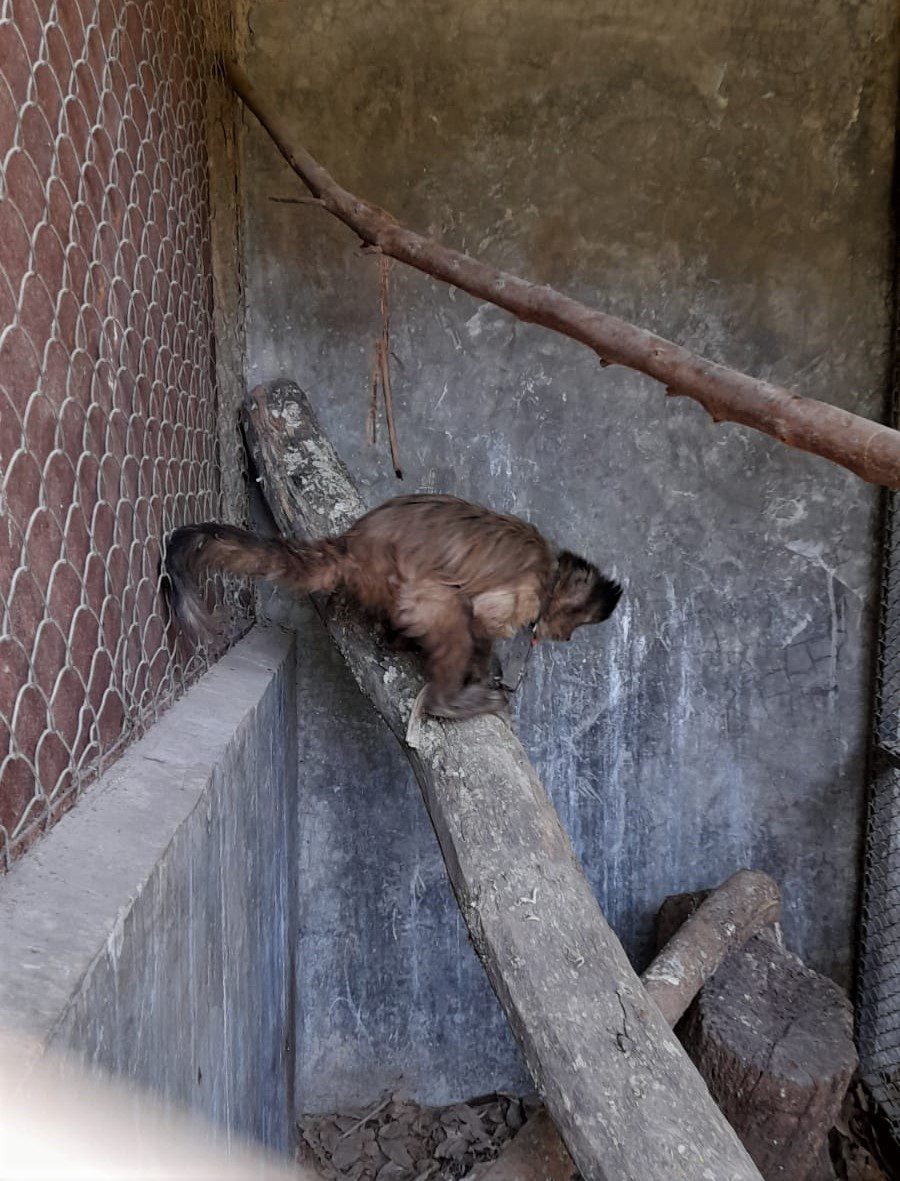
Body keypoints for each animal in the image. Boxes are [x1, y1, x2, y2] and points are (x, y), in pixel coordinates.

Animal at [164, 493, 622, 720]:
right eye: (576, 624)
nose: (566, 637)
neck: (551, 574)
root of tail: (355, 544)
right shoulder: (525, 591)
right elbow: (481, 617)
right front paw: (483, 669)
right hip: (398, 579)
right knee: (445, 606)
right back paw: (447, 701)